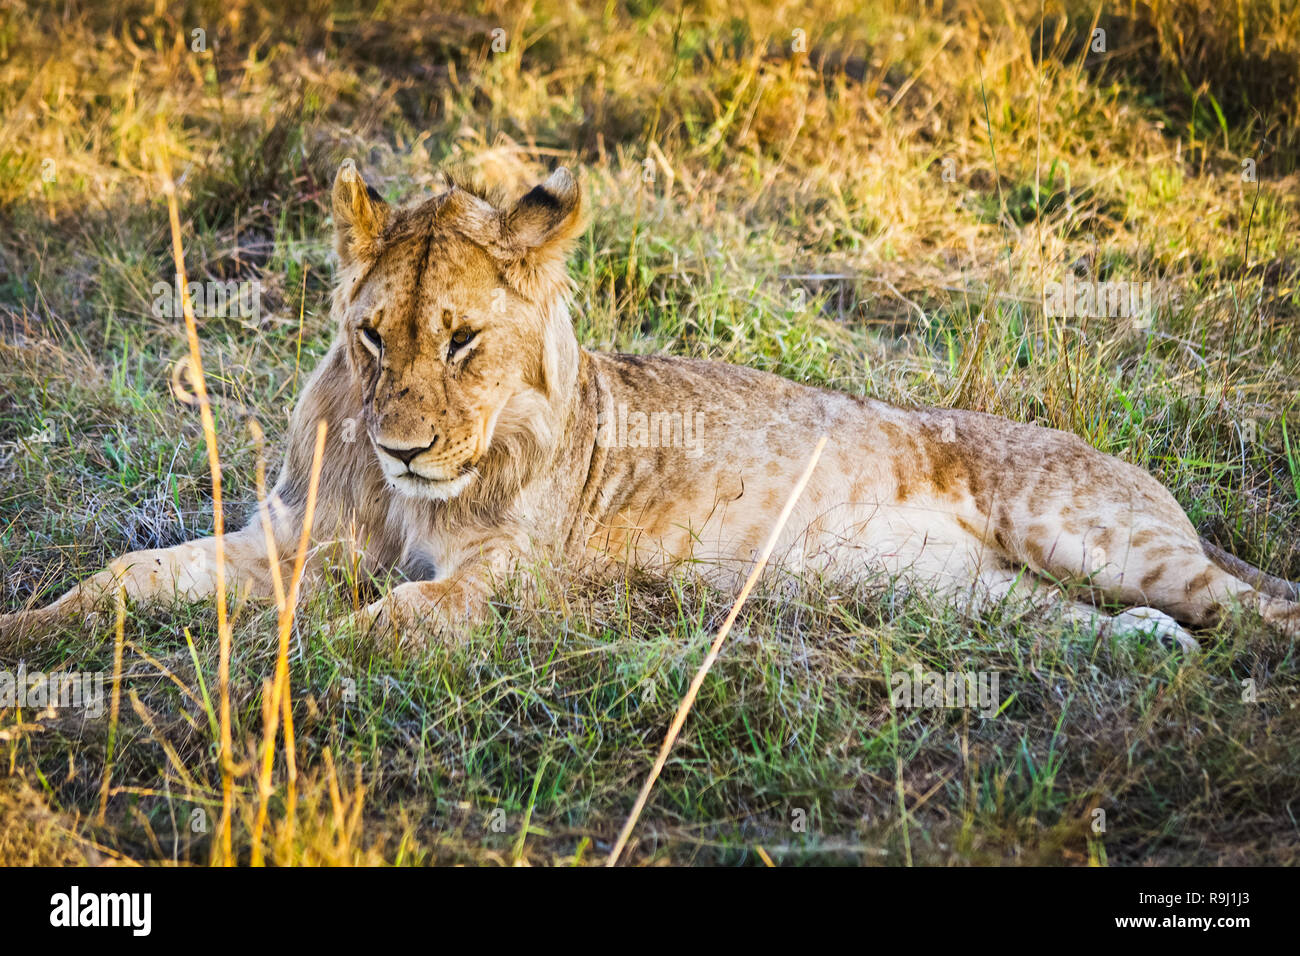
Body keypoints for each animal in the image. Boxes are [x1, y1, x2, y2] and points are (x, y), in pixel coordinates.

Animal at [3, 161, 1298, 652]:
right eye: (371, 337)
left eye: (463, 341)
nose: (403, 446)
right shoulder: (291, 533)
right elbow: (125, 577)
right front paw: (30, 633)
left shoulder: (515, 573)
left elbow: (386, 619)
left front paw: (286, 659)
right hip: (970, 594)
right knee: (1103, 619)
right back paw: (1145, 649)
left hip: (1092, 530)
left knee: (1251, 599)